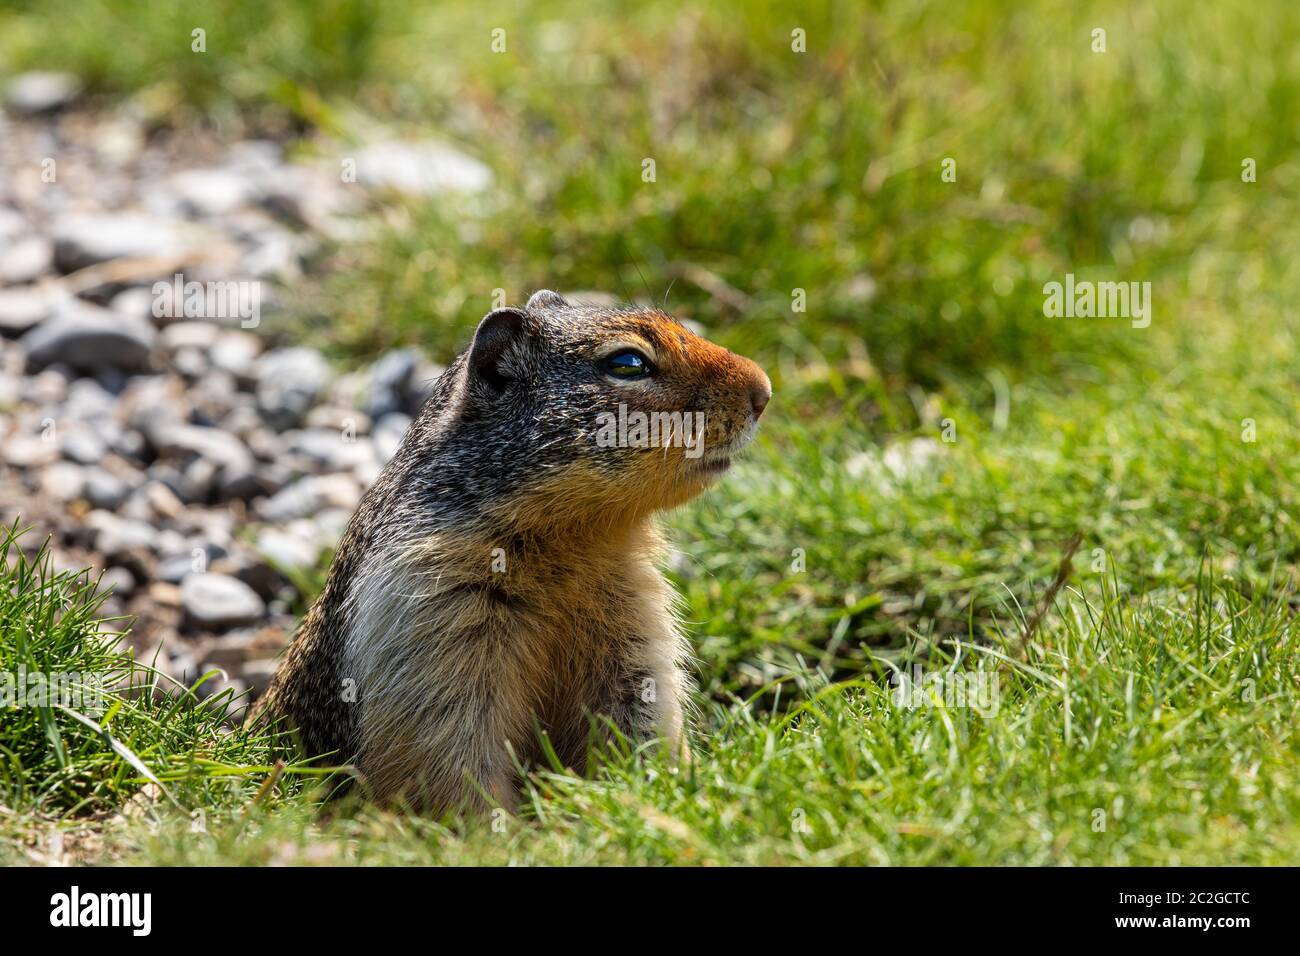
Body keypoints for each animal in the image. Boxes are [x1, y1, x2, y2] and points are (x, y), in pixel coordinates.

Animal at [255, 290, 771, 811]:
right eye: (628, 363)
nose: (763, 390)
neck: (580, 538)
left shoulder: (635, 623)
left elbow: (637, 711)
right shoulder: (431, 613)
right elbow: (449, 747)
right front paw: (491, 826)